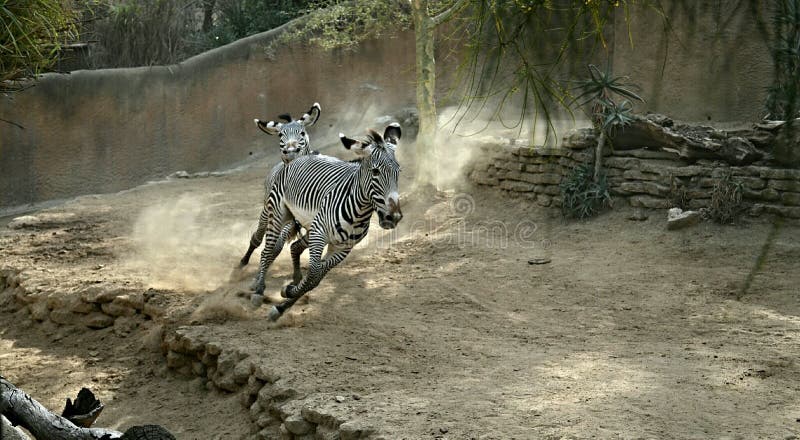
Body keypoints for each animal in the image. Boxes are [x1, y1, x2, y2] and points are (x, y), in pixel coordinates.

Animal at [239, 103, 321, 285]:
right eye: (280, 135)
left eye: (302, 133)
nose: (290, 151)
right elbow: (270, 244)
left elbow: (279, 246)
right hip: (266, 211)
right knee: (257, 237)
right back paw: (244, 261)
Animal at [251, 123, 403, 321]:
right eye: (375, 172)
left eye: (398, 172)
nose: (394, 217)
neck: (359, 211)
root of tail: (300, 155)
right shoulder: (319, 234)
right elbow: (314, 272)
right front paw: (285, 295)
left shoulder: (343, 248)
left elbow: (316, 278)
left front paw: (286, 297)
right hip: (279, 214)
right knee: (267, 250)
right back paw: (258, 291)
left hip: (309, 224)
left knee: (294, 247)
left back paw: (293, 279)